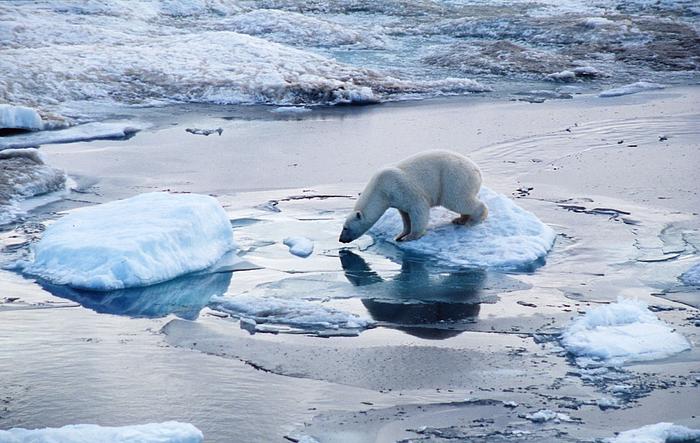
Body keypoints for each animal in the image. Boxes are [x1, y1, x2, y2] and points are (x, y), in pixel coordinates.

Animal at [339, 150, 488, 243]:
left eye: (345, 227)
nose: (341, 239)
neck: (381, 189)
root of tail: (477, 170)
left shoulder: (401, 187)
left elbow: (418, 209)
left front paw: (411, 237)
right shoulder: (397, 199)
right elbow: (405, 215)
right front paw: (400, 235)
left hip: (454, 179)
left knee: (458, 200)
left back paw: (473, 220)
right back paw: (459, 219)